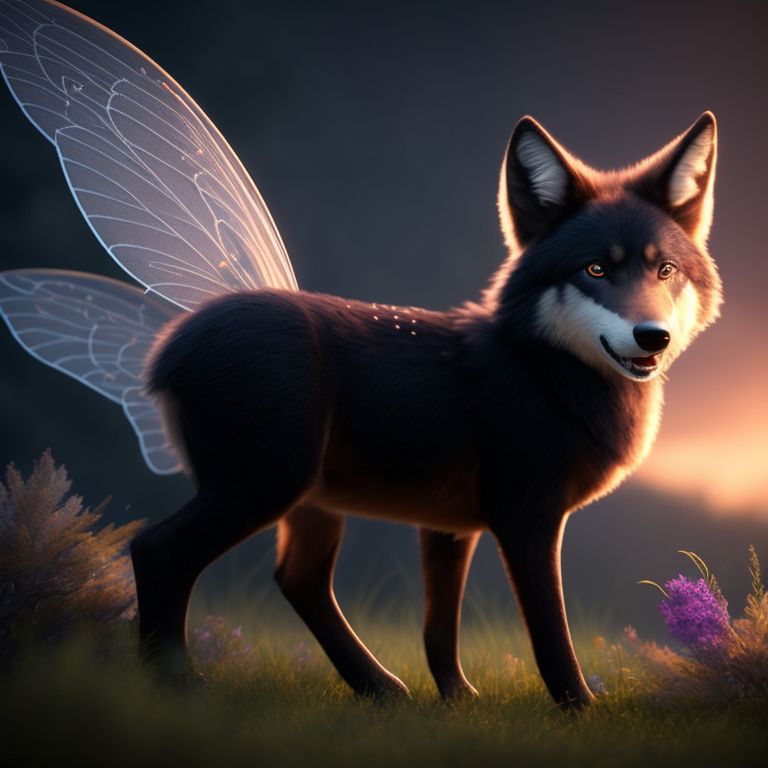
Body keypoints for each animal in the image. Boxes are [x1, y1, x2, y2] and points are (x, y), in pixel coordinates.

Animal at [0, 0, 721, 708]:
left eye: (663, 271)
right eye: (597, 269)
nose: (652, 337)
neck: (545, 376)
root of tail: (175, 332)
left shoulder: (449, 527)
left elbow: (439, 631)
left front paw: (457, 702)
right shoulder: (527, 518)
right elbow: (552, 636)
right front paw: (578, 710)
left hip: (310, 504)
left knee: (298, 582)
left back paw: (378, 689)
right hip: (266, 484)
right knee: (157, 550)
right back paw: (178, 683)